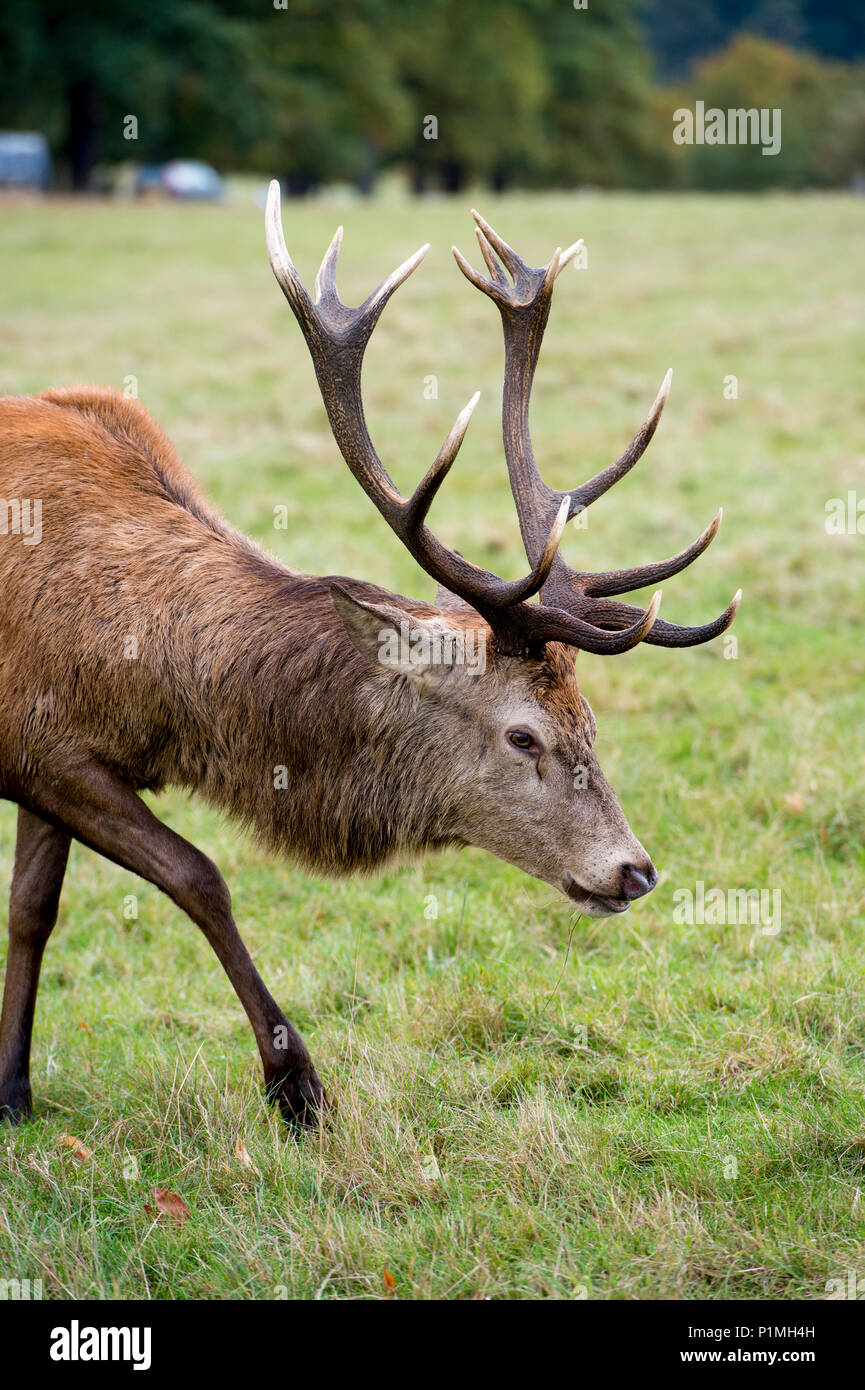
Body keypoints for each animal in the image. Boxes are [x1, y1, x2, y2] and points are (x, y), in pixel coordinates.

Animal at [0, 186, 740, 1128]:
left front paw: (12, 1091)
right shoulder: (35, 747)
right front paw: (296, 1087)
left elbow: (32, 909)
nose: (634, 870)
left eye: (593, 722)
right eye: (523, 735)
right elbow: (199, 875)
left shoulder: (54, 751)